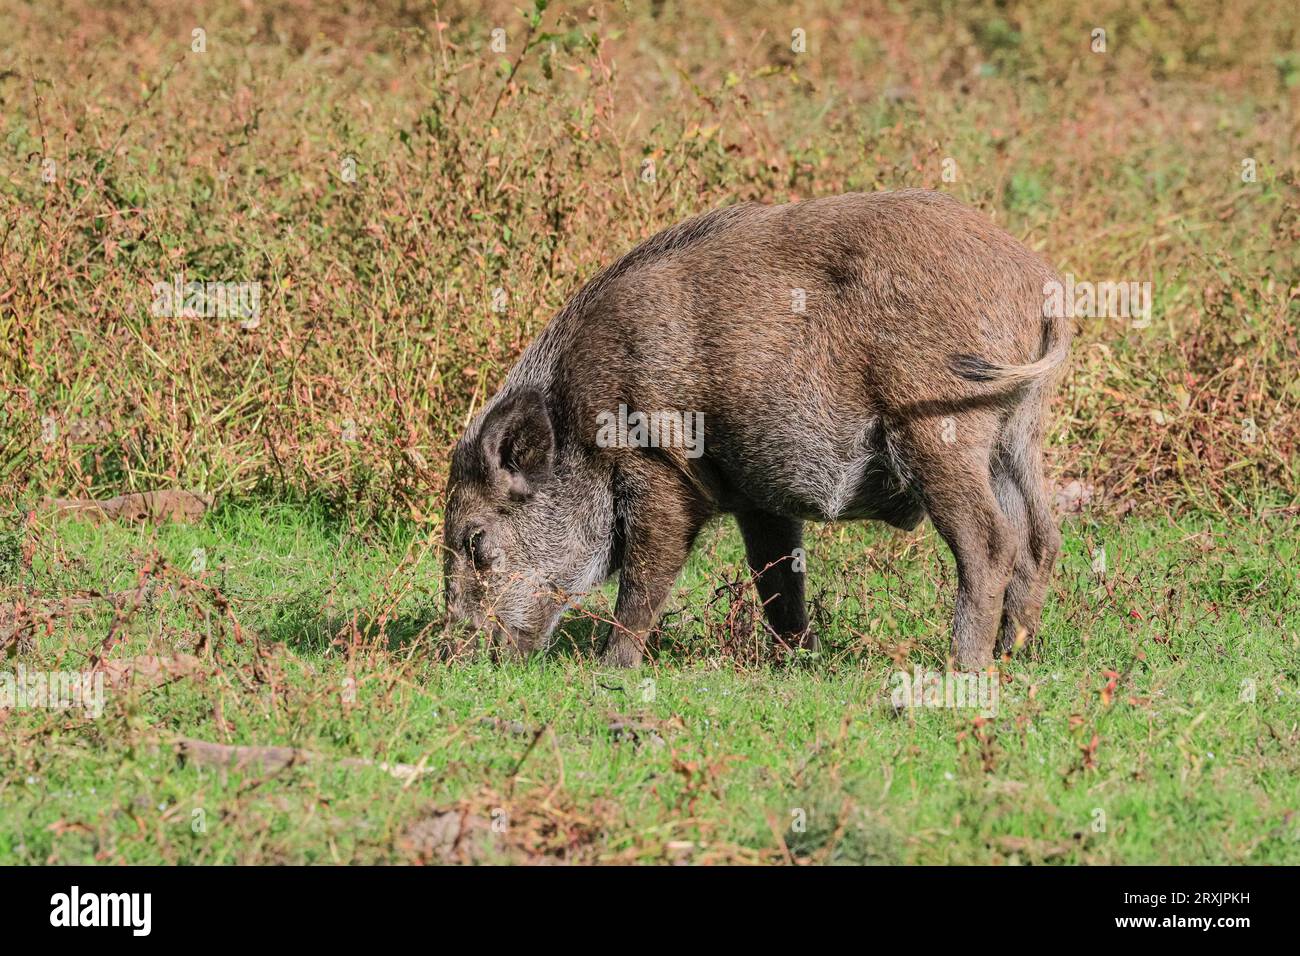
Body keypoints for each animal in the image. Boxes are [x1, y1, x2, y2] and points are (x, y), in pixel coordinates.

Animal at [443, 189, 1070, 669]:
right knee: (1040, 537)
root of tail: (1035, 282)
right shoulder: (757, 497)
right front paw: (797, 661)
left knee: (991, 541)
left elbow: (645, 579)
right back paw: (1016, 652)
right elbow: (779, 579)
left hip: (940, 428)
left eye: (475, 541)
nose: (456, 657)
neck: (579, 419)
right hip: (1017, 433)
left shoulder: (658, 471)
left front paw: (610, 668)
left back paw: (962, 665)